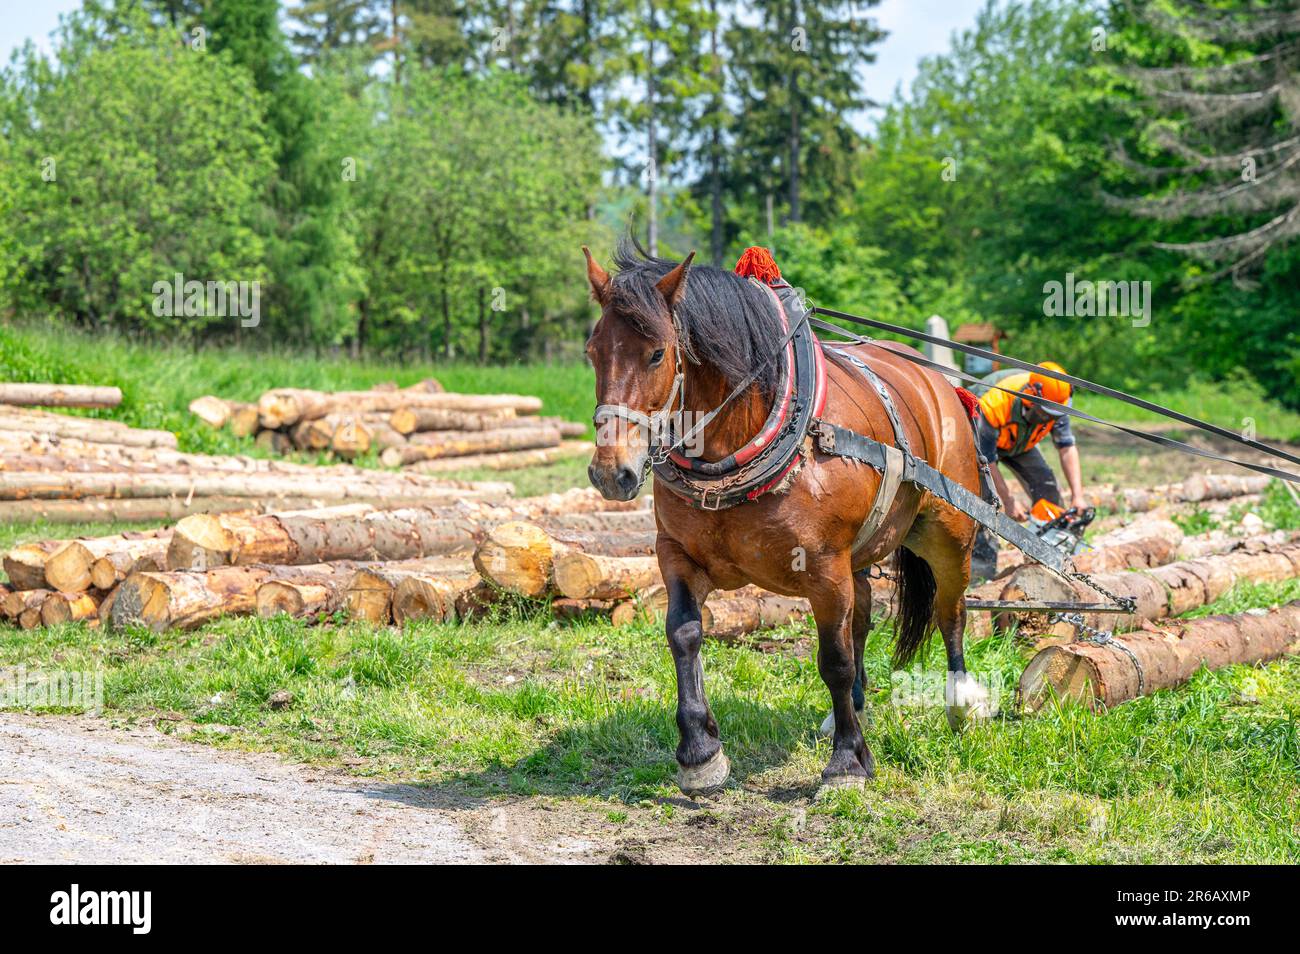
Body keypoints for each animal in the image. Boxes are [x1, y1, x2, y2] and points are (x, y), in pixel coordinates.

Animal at [582, 241, 993, 793]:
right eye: (593, 352)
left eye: (656, 353)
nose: (612, 472)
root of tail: (937, 380)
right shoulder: (676, 554)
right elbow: (684, 634)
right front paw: (700, 752)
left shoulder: (823, 566)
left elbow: (834, 660)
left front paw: (847, 761)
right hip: (858, 554)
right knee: (863, 617)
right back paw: (851, 710)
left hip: (949, 533)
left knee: (951, 613)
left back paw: (960, 703)